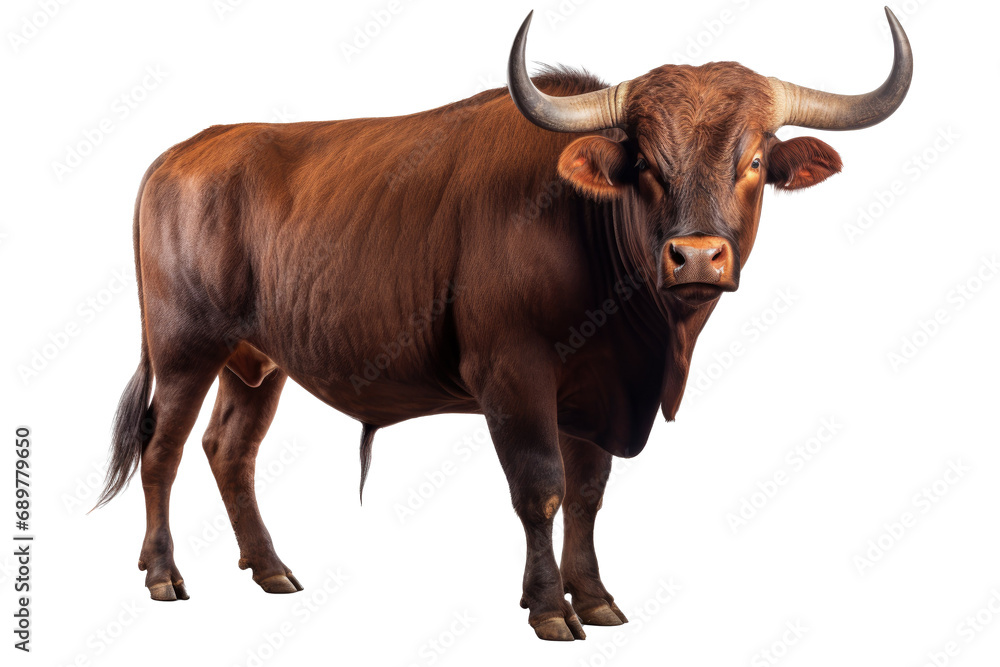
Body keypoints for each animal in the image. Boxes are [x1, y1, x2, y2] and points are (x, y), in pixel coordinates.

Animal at [96, 8, 912, 641]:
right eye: (646, 161)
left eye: (754, 162)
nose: (698, 256)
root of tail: (188, 150)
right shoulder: (514, 376)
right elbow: (540, 487)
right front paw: (549, 608)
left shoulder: (595, 393)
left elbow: (587, 494)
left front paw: (596, 597)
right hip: (185, 349)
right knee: (163, 449)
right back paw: (165, 573)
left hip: (256, 360)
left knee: (229, 449)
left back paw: (271, 569)